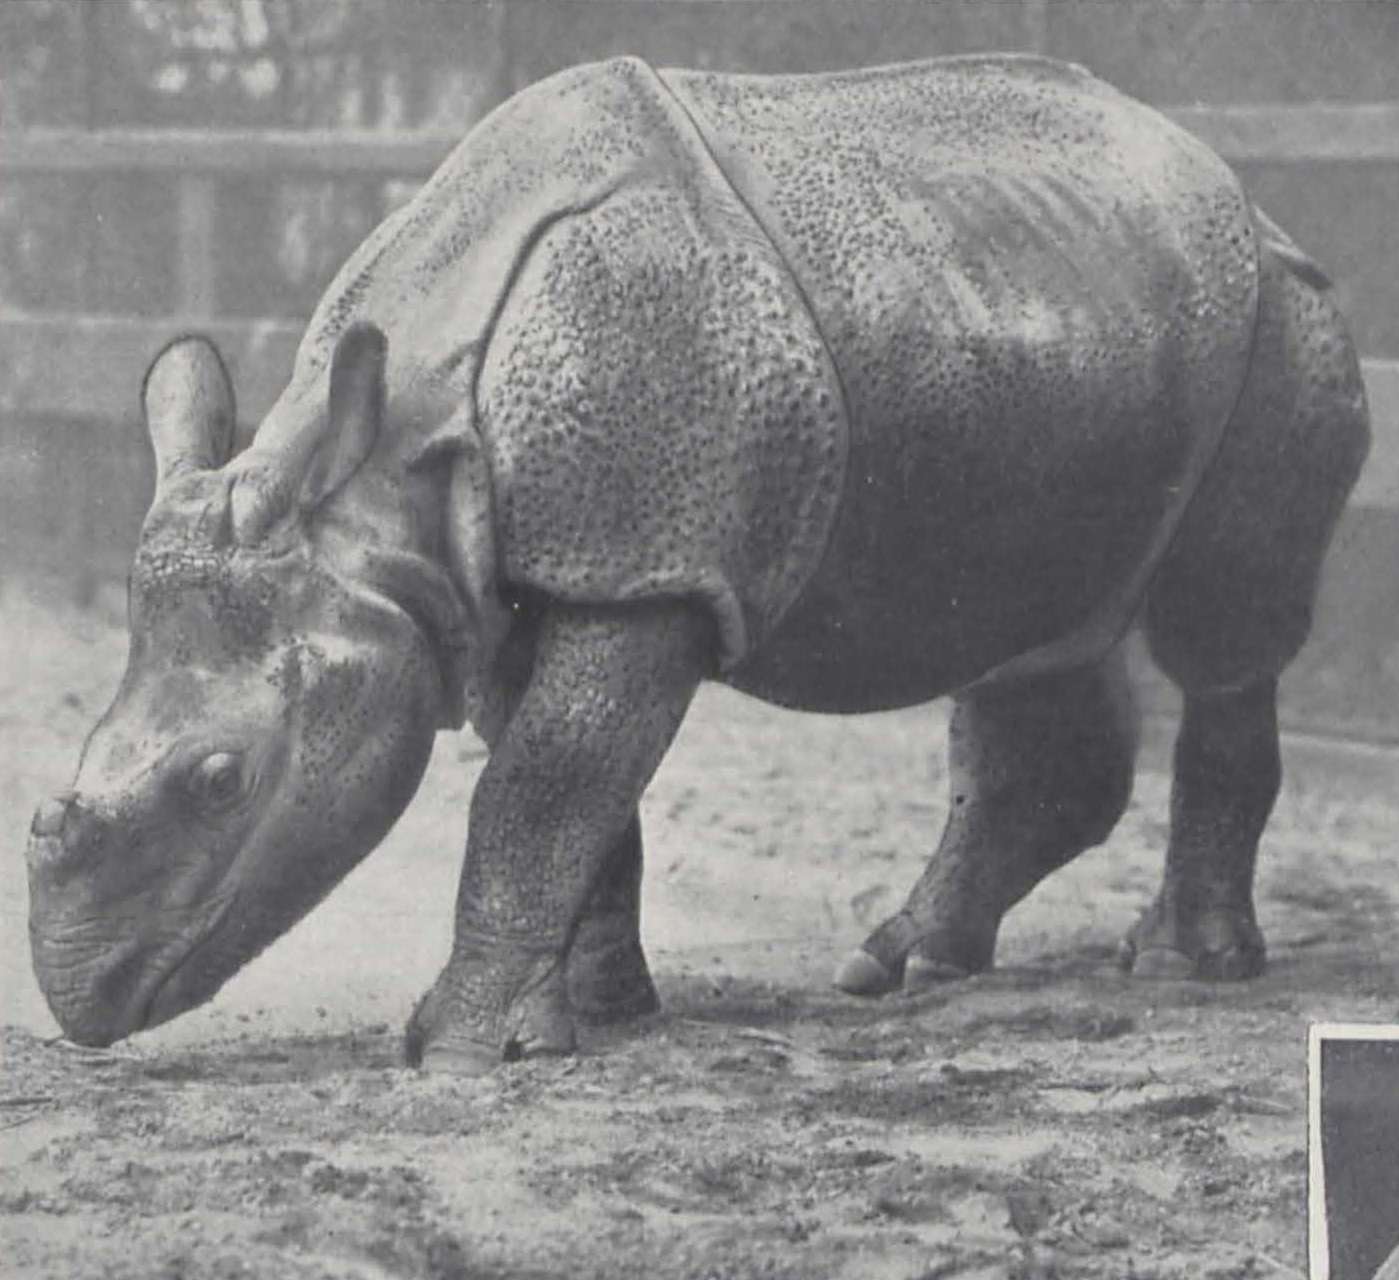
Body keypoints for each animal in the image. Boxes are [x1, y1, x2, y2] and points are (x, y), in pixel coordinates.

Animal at [28, 54, 1370, 1073]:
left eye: (218, 780)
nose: (81, 998)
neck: (385, 479)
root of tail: (1239, 190)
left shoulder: (643, 573)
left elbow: (538, 787)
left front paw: (455, 1049)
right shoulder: (538, 574)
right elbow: (576, 790)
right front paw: (590, 1022)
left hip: (1280, 324)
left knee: (1219, 637)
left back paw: (1185, 966)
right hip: (1040, 324)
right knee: (1036, 628)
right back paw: (900, 965)